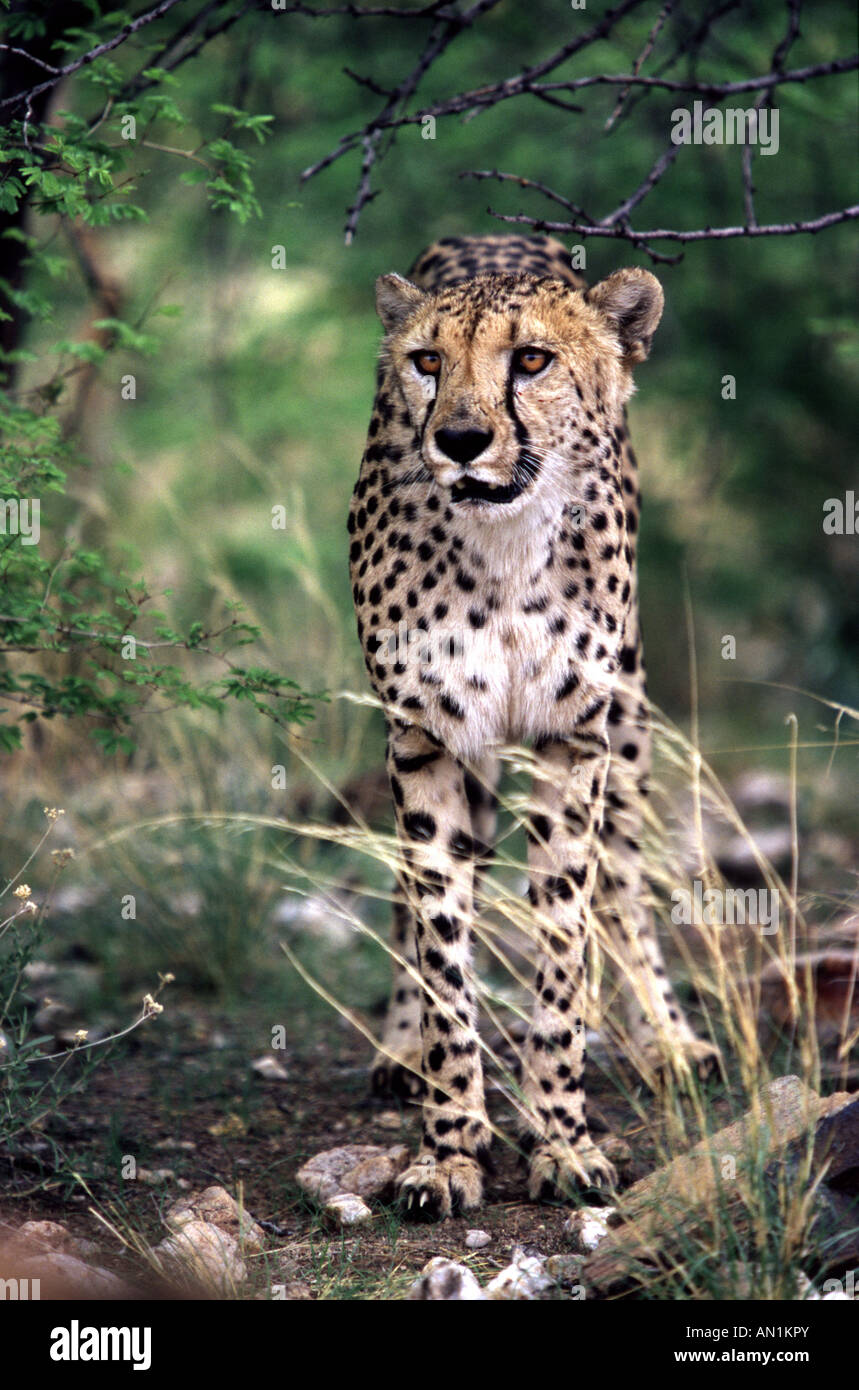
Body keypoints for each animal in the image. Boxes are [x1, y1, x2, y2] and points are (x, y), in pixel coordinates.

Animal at [347, 233, 720, 1220]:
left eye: (530, 360)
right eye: (427, 362)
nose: (458, 440)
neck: (504, 547)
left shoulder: (573, 739)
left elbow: (564, 941)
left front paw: (562, 1139)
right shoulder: (424, 741)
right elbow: (442, 945)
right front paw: (446, 1148)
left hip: (627, 721)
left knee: (621, 881)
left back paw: (665, 1036)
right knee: (416, 894)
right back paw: (401, 1050)